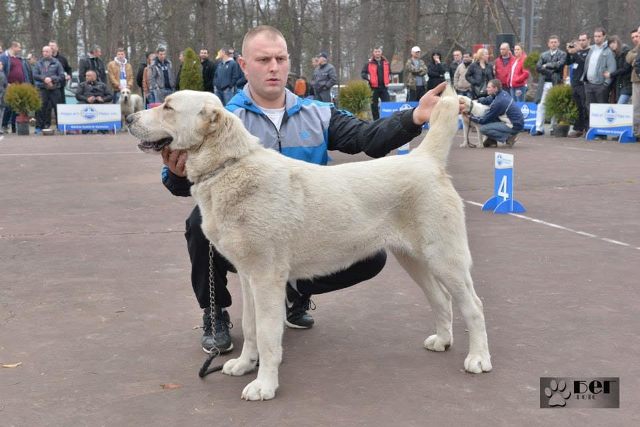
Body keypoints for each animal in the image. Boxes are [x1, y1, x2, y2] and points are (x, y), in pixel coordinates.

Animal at [127, 89, 492, 402]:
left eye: (168, 107)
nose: (129, 117)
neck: (229, 166)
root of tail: (424, 158)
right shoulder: (248, 277)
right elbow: (250, 326)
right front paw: (245, 365)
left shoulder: (266, 277)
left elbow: (268, 334)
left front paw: (264, 385)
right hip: (413, 260)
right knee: (441, 299)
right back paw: (443, 341)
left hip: (444, 258)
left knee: (474, 305)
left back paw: (478, 359)